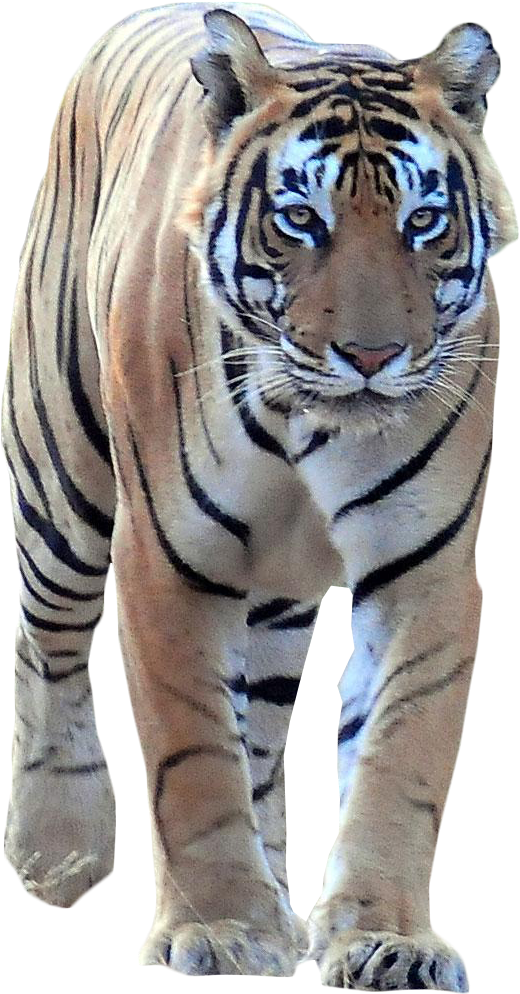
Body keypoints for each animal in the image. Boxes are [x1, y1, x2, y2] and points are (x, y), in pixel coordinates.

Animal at [3, 0, 517, 985]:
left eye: (425, 221)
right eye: (300, 219)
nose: (370, 355)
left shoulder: (426, 569)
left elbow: (401, 755)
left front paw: (388, 938)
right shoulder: (166, 557)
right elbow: (194, 753)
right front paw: (219, 928)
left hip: (273, 597)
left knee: (265, 734)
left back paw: (282, 902)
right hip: (60, 474)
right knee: (47, 639)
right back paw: (57, 851)